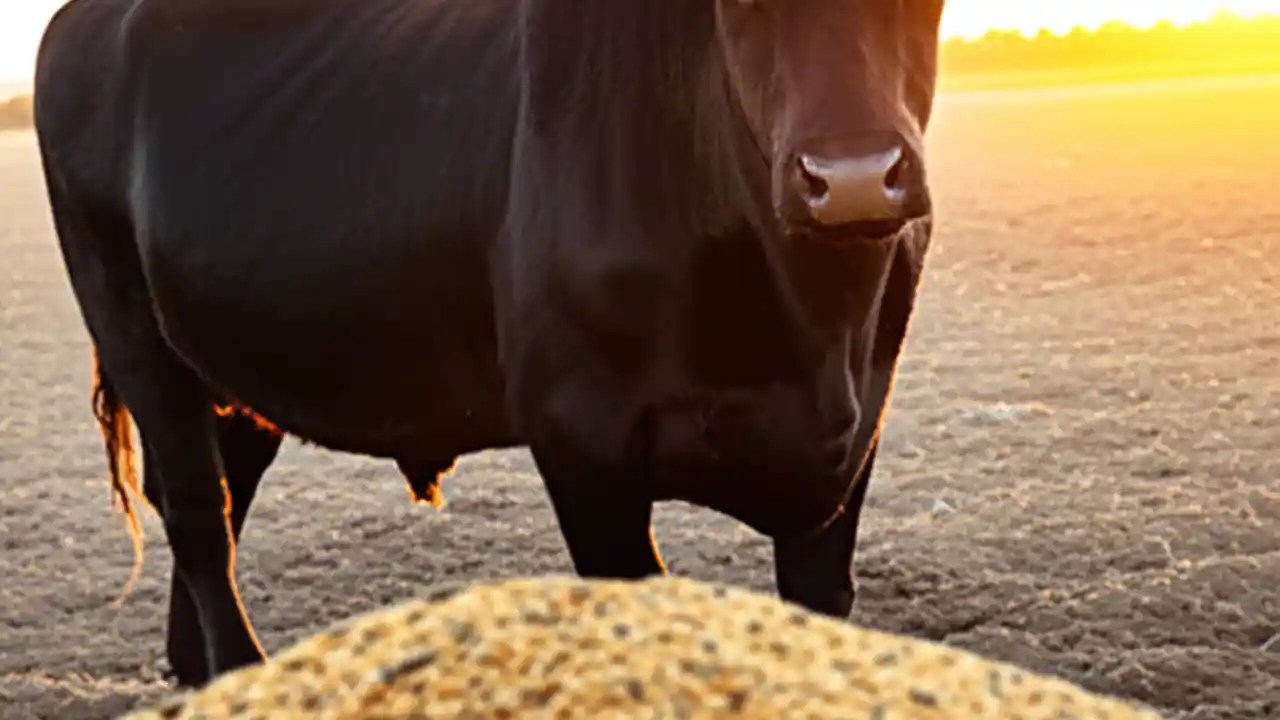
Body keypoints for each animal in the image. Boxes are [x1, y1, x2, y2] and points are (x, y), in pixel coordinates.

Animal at [35, 0, 945, 686]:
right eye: (742, 1)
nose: (852, 178)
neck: (809, 326)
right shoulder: (582, 443)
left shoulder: (848, 448)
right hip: (125, 322)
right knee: (197, 505)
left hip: (228, 358)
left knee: (221, 488)